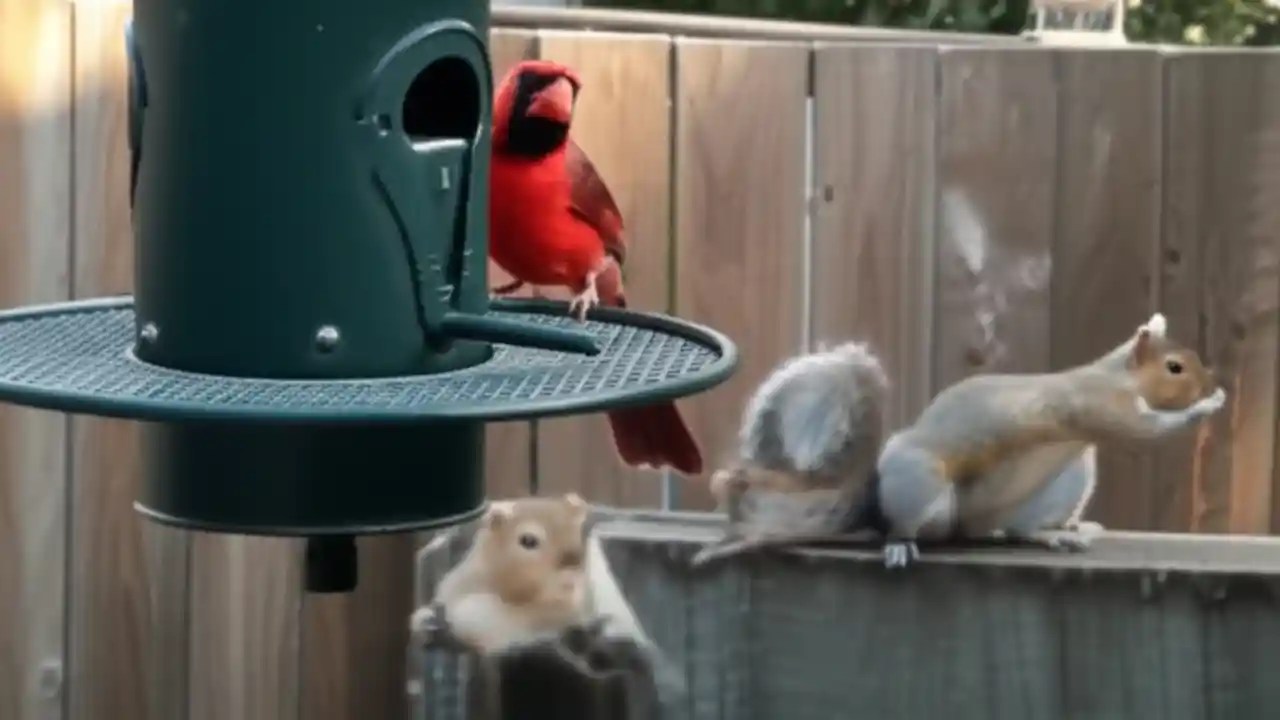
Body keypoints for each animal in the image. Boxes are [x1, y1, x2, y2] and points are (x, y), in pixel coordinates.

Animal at [692, 311, 1226, 569]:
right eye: (1174, 367)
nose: (1208, 381)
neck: (1117, 375)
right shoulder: (1097, 405)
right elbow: (1146, 431)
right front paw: (1207, 405)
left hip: (1068, 474)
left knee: (1018, 530)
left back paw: (1060, 531)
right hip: (921, 482)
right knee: (904, 527)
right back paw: (899, 545)